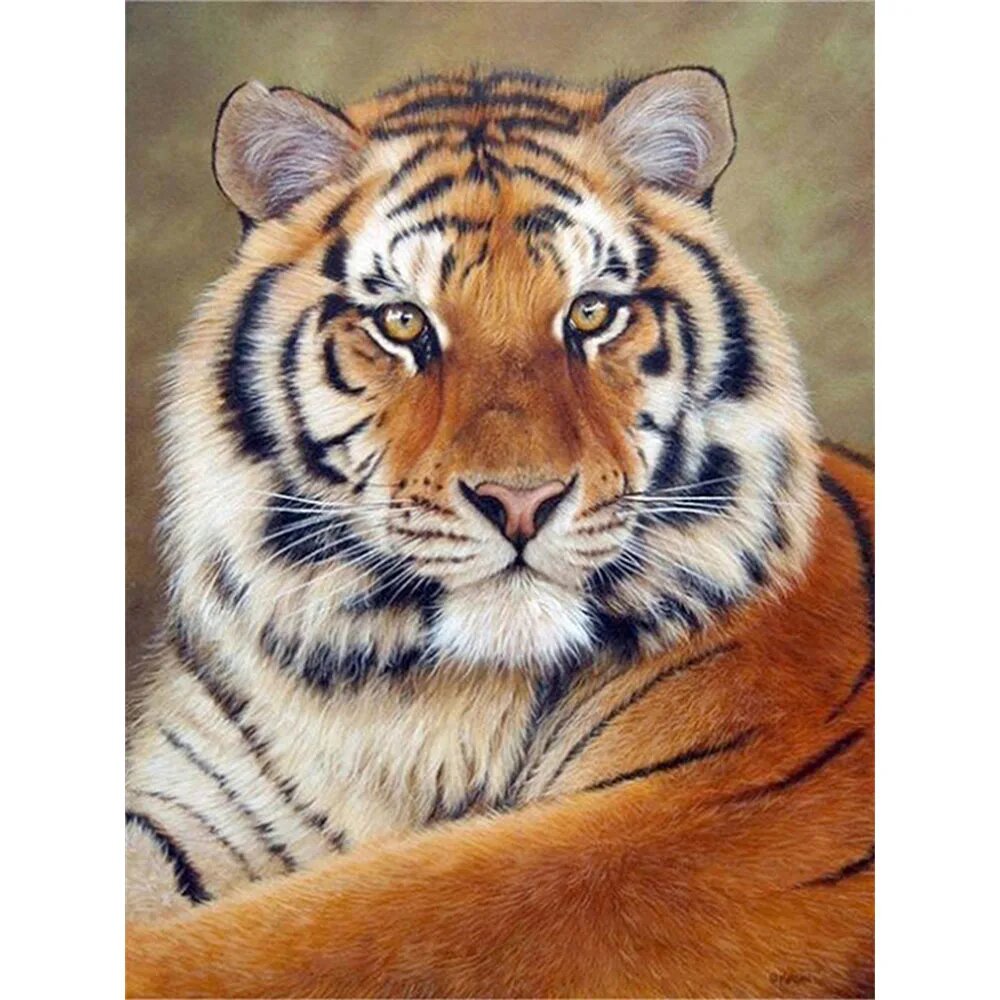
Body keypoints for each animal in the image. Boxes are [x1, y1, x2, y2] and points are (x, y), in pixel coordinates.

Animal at [125, 67, 874, 998]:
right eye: (403, 323)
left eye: (591, 314)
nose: (521, 501)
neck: (405, 696)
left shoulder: (706, 815)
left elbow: (340, 928)